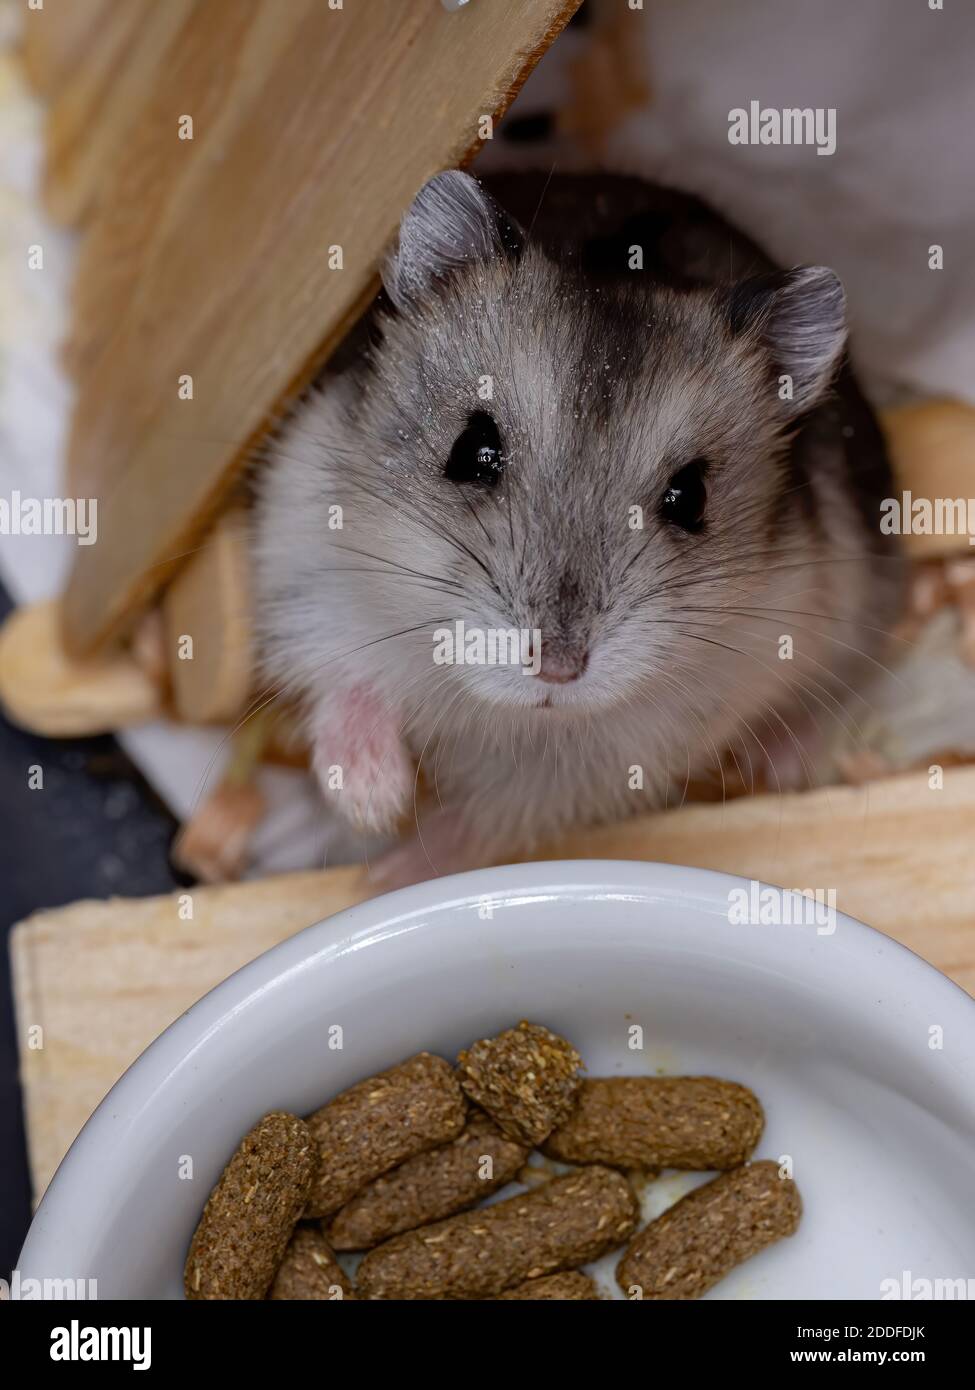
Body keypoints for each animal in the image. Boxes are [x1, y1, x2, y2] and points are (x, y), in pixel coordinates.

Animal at [253, 169, 905, 883]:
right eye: (472, 450)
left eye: (691, 497)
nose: (557, 672)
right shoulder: (306, 559)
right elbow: (346, 683)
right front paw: (373, 801)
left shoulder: (617, 755)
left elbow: (497, 812)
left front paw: (392, 873)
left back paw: (784, 762)